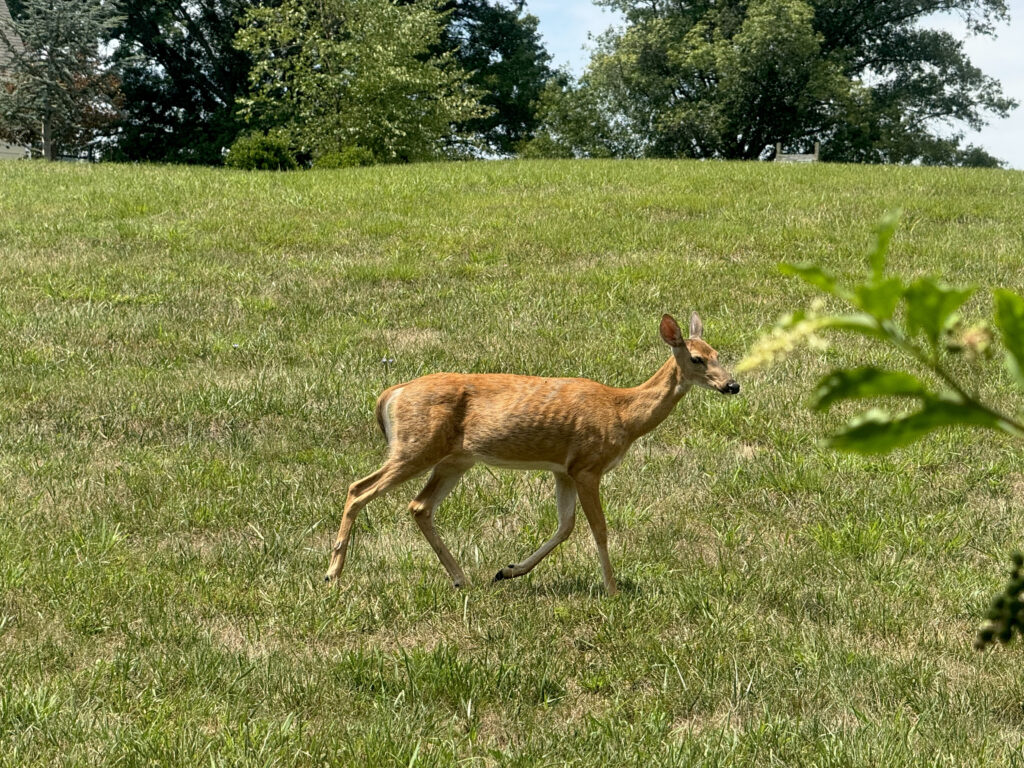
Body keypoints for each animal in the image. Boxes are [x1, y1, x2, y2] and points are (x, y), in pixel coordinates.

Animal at [324, 313, 739, 595]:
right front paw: (612, 589)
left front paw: (506, 570)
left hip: (454, 459)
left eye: (719, 353)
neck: (623, 414)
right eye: (697, 359)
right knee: (358, 488)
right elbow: (599, 528)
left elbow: (565, 526)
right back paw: (333, 573)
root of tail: (392, 393)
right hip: (416, 446)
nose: (732, 385)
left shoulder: (563, 469)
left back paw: (461, 579)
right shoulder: (588, 465)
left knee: (419, 506)